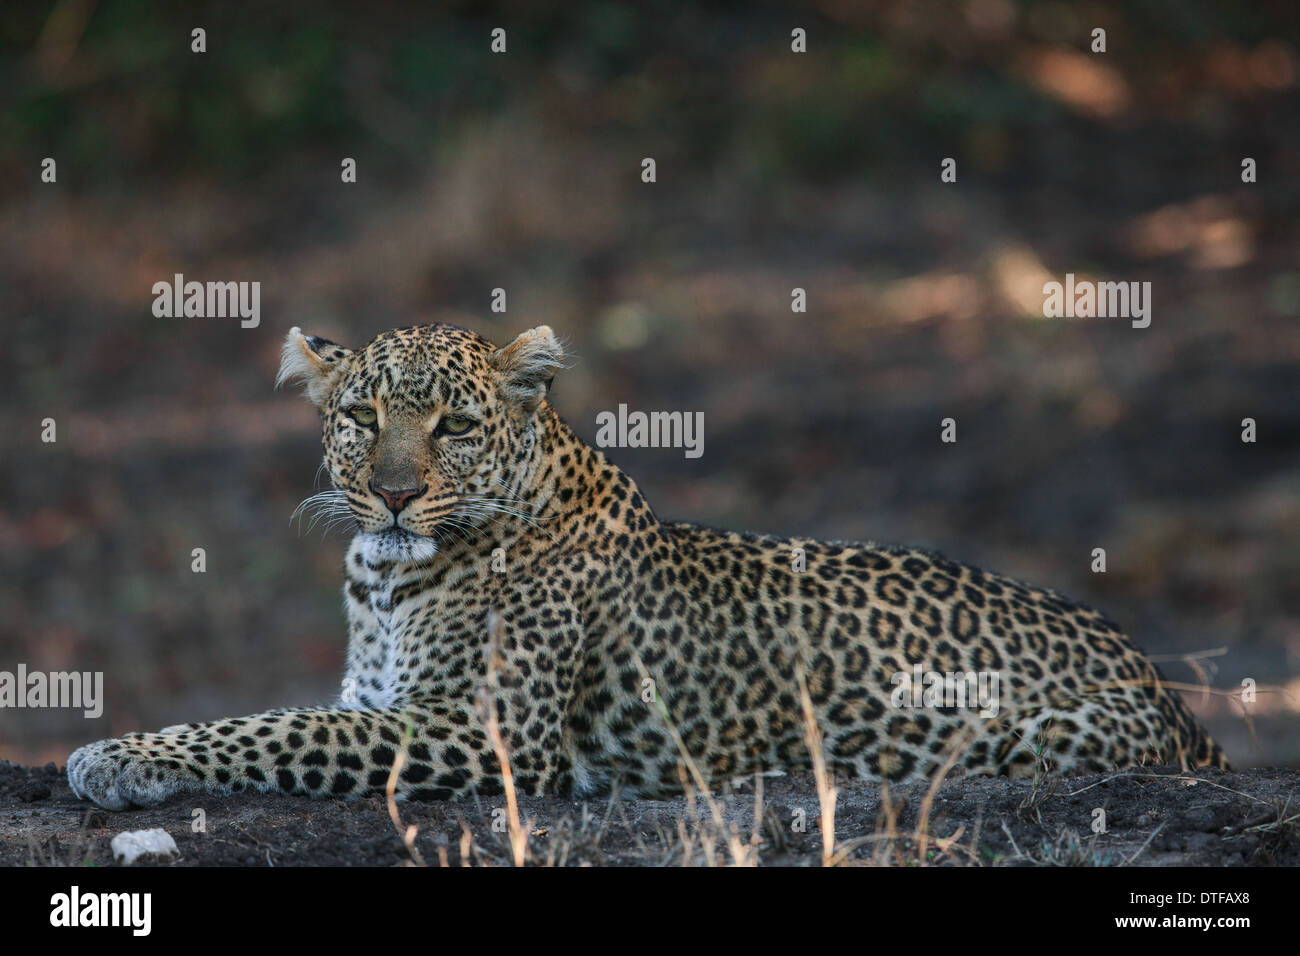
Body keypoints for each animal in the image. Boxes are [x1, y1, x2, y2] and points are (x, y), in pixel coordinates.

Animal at [68, 322, 1228, 810]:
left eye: (451, 426)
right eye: (361, 418)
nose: (393, 495)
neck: (388, 581)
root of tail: (1167, 689)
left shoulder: (480, 729)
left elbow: (266, 728)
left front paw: (117, 755)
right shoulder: (384, 698)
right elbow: (279, 717)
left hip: (1012, 734)